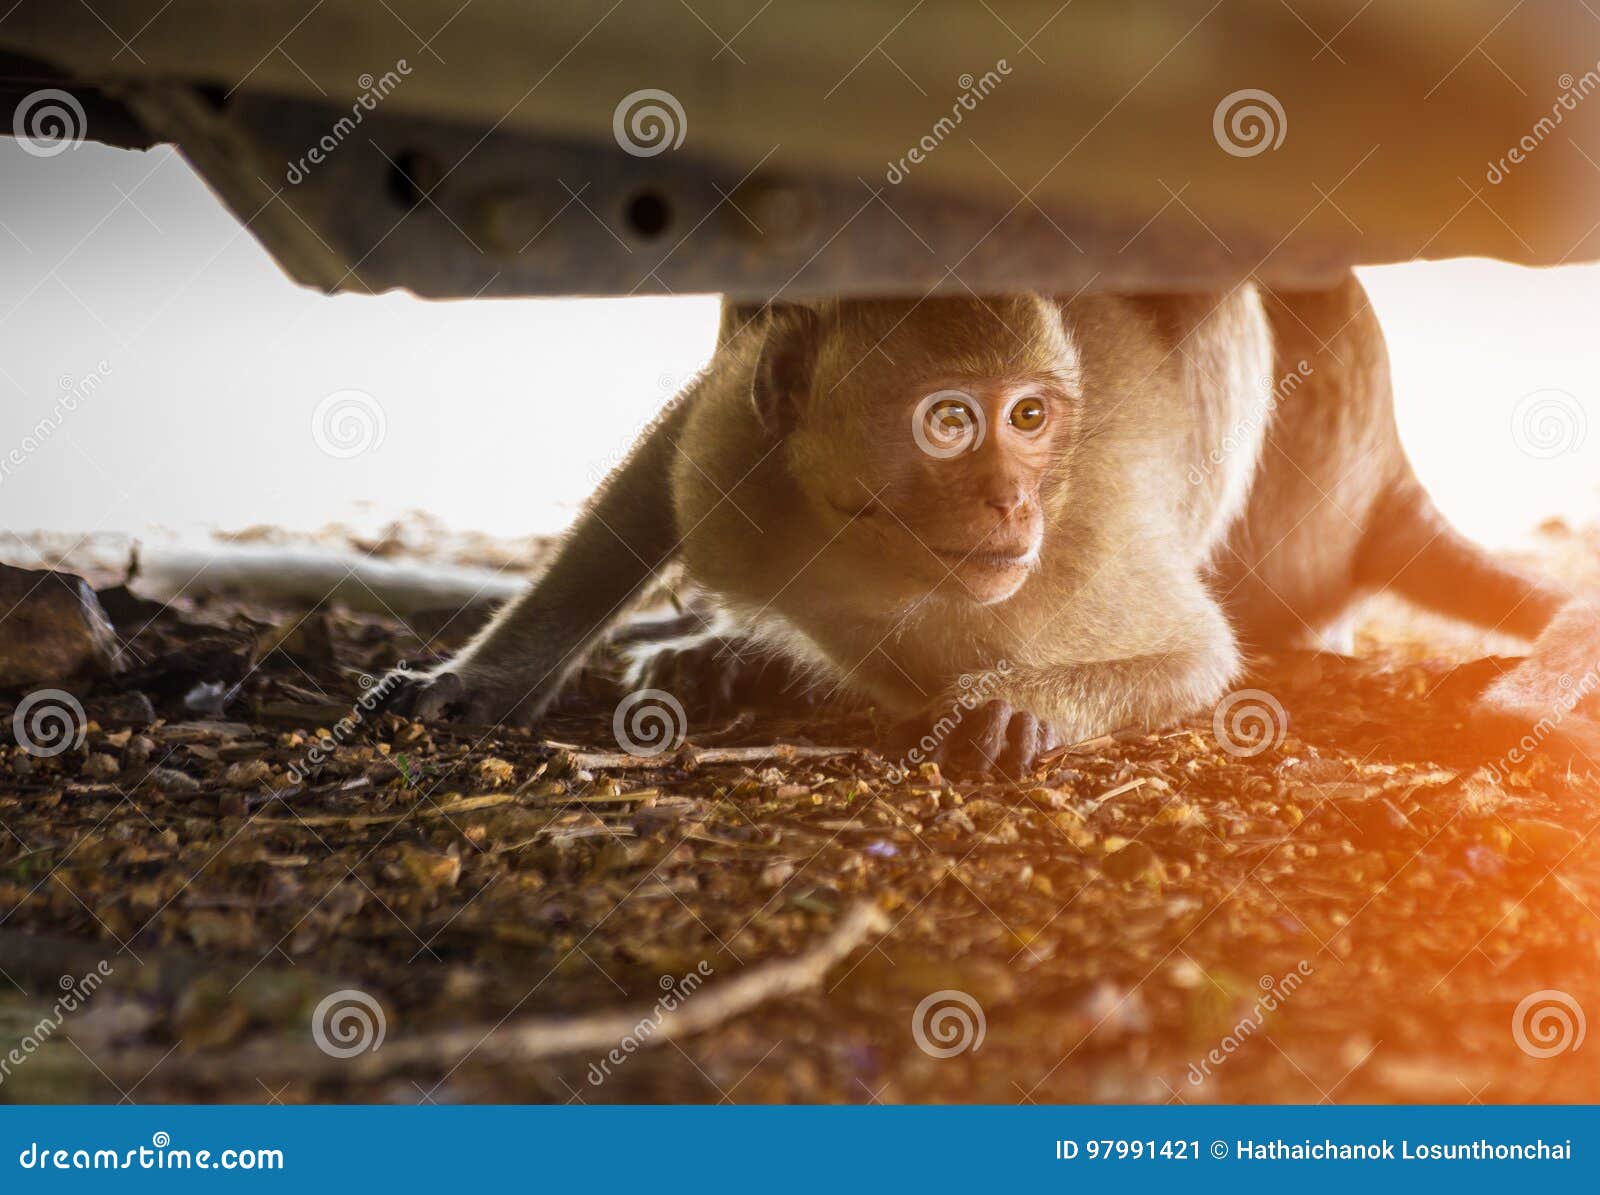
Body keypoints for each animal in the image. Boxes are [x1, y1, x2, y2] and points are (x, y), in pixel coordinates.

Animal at [388, 275, 1600, 776]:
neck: (868, 552)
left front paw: (1024, 710)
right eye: (949, 420)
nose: (1014, 503)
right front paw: (483, 679)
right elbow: (658, 470)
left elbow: (1197, 660)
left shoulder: (1074, 569)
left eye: (1030, 417)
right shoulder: (734, 456)